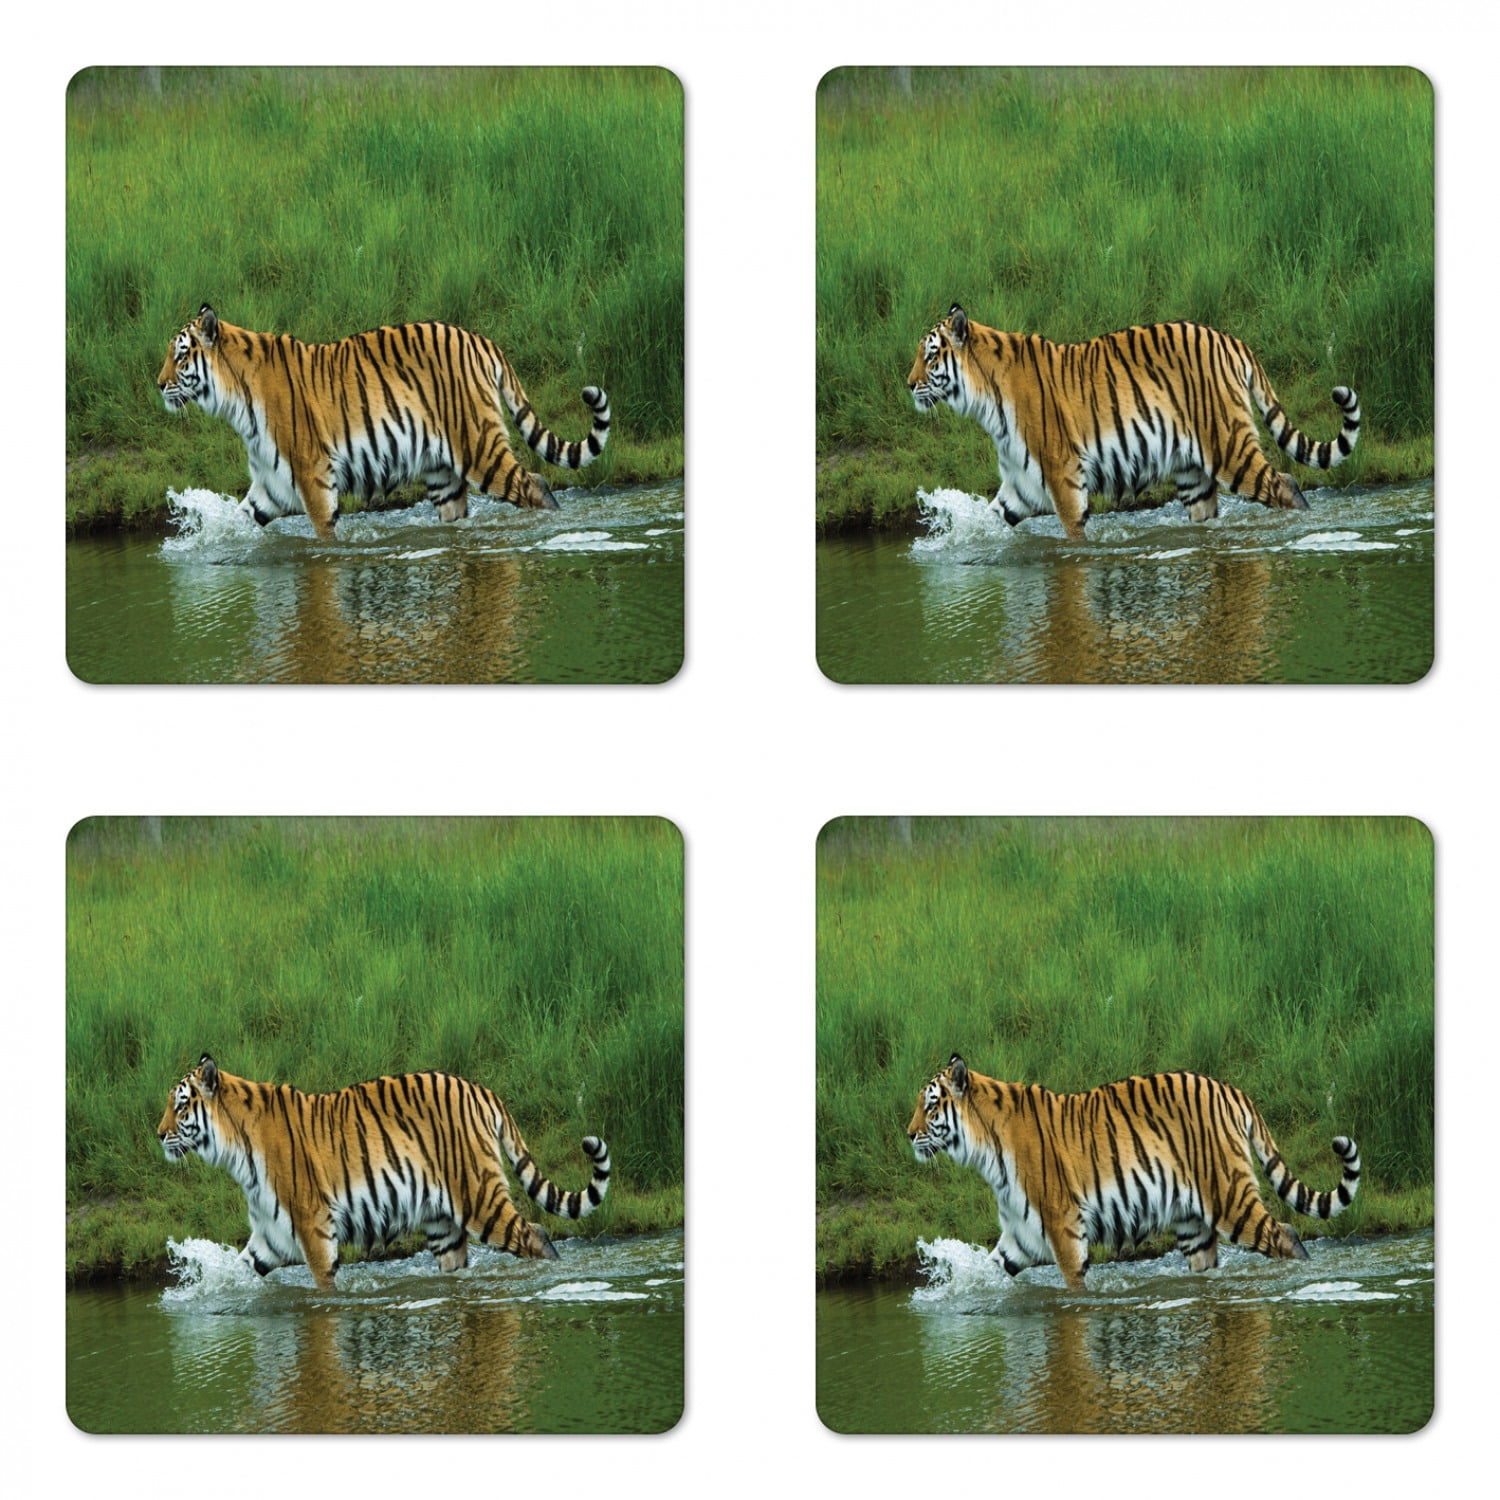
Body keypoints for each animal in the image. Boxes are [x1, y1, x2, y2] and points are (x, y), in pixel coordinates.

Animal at [157, 305, 611, 540]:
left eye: (180, 354)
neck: (235, 403)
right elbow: (238, 519)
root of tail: (481, 339)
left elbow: (325, 538)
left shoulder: (312, 477)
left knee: (535, 484)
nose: (158, 384)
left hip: (479, 446)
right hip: (442, 472)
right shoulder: (272, 485)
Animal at [157, 1054, 611, 1289]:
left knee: (535, 1234)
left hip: (479, 1197)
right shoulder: (272, 1235)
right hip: (442, 1222)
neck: (235, 1154)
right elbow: (238, 1269)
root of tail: (481, 1089)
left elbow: (325, 1288)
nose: (158, 1134)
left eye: (180, 1105)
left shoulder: (313, 1228)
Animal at [907, 305, 1361, 540]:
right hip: (1192, 472)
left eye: (930, 355)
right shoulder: (1022, 485)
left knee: (1285, 484)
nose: (908, 384)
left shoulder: (1062, 477)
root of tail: (1231, 339)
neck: (984, 403)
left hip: (1229, 446)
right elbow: (989, 518)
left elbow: (1074, 537)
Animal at [907, 1054, 1360, 1289]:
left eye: (930, 1105)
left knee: (1285, 1234)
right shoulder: (1021, 1235)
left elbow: (1074, 1288)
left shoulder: (1062, 1227)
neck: (985, 1154)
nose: (908, 1134)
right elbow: (989, 1268)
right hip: (1192, 1223)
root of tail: (1231, 1089)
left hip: (1229, 1197)